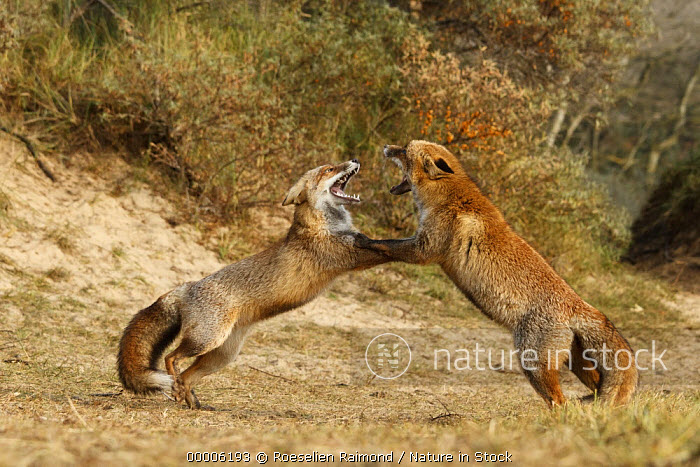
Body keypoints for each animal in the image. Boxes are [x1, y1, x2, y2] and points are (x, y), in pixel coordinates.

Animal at [118, 159, 389, 409]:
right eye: (329, 169)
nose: (355, 160)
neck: (324, 223)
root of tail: (188, 286)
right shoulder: (352, 254)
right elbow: (391, 246)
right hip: (206, 340)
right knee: (171, 358)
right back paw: (177, 390)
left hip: (222, 354)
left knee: (186, 375)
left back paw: (192, 401)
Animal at [357, 140, 638, 406]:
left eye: (404, 150)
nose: (386, 146)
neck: (450, 198)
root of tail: (580, 304)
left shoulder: (425, 248)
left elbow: (387, 244)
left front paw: (364, 240)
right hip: (574, 362)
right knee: (597, 388)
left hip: (533, 362)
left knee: (560, 402)